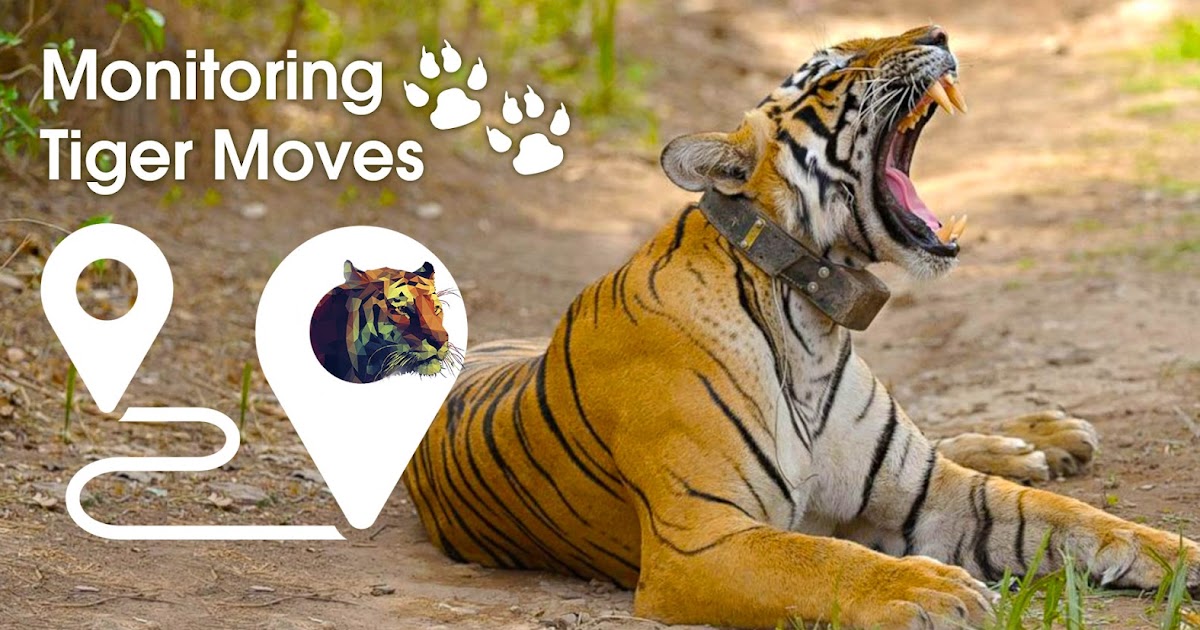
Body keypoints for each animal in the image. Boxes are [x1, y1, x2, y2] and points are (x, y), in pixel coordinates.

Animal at [402, 25, 1200, 629]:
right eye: (835, 70)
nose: (940, 33)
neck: (812, 322)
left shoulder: (931, 493)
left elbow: (1076, 519)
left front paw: (1181, 552)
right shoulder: (702, 540)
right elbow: (826, 558)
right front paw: (928, 587)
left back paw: (1042, 438)